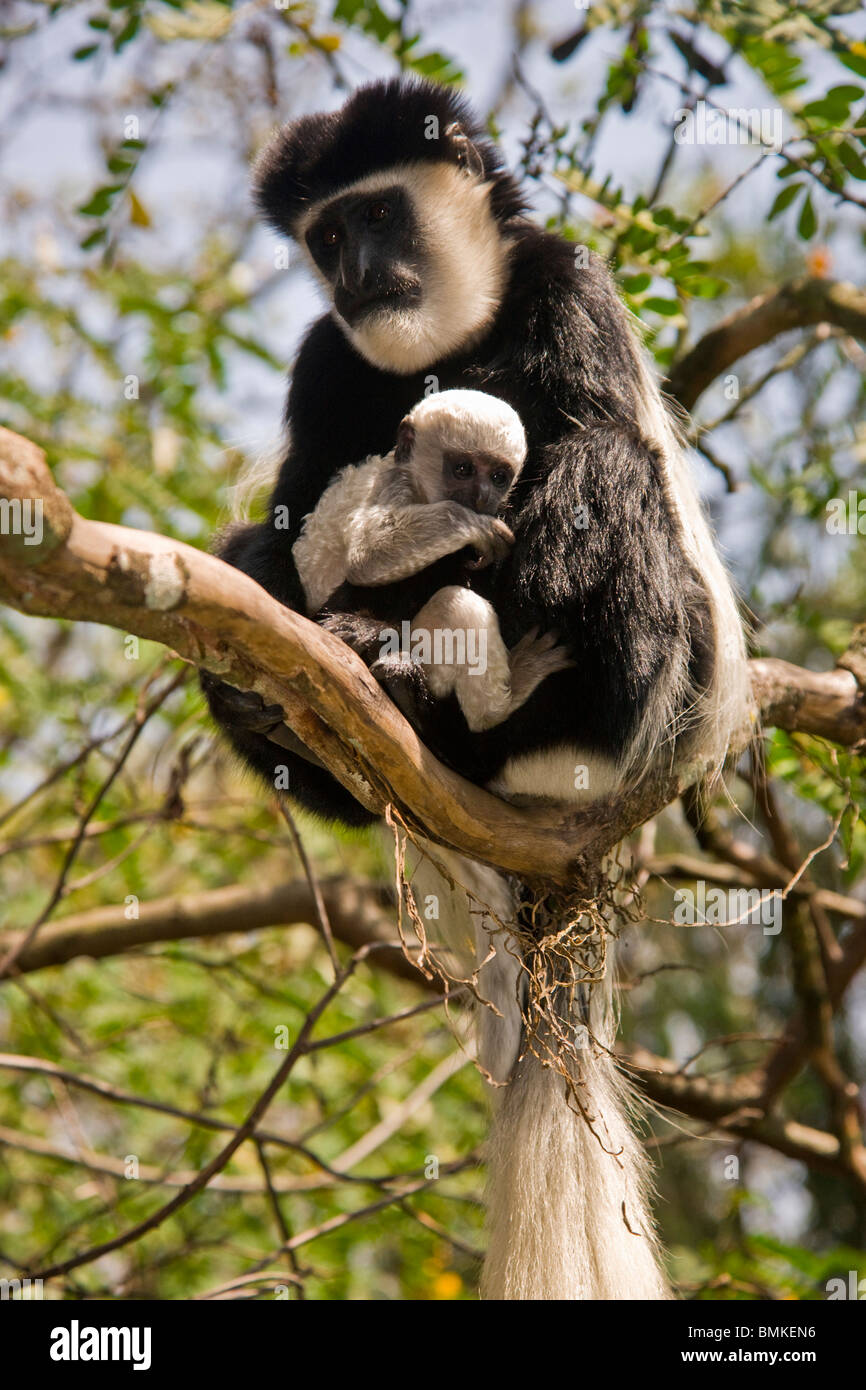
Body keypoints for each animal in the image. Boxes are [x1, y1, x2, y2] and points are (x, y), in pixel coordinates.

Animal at [292, 389, 573, 734]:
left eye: (498, 477)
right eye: (463, 469)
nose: (483, 496)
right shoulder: (396, 485)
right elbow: (366, 556)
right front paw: (478, 527)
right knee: (457, 603)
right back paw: (497, 703)